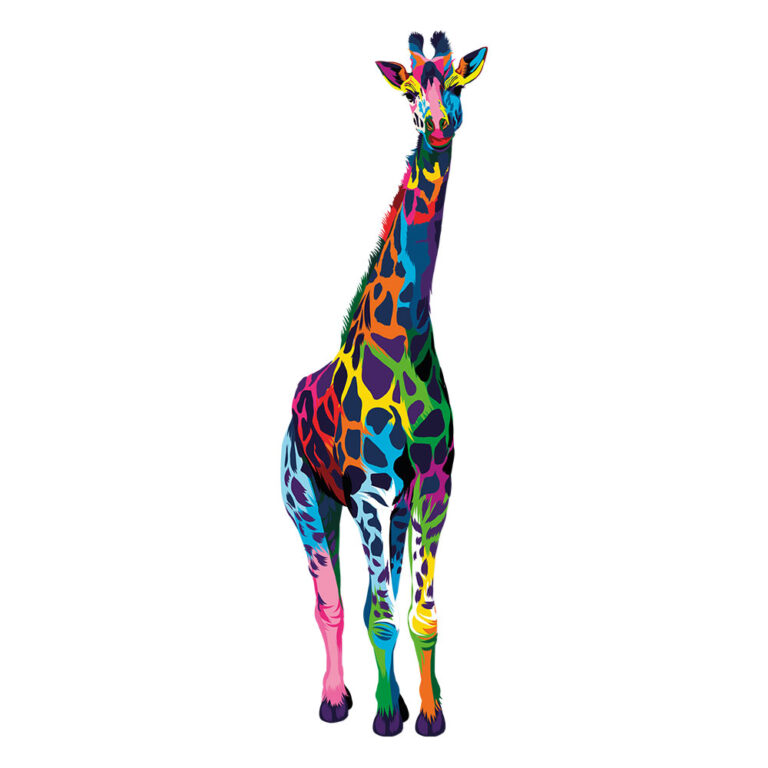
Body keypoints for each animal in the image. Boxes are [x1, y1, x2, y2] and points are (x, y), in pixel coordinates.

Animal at [279, 31, 487, 737]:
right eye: (410, 88)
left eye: (457, 80)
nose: (439, 122)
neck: (406, 336)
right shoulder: (371, 489)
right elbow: (377, 613)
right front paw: (388, 717)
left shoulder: (433, 483)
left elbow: (418, 612)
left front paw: (429, 712)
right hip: (305, 499)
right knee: (334, 603)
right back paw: (335, 701)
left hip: (379, 512)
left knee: (376, 592)